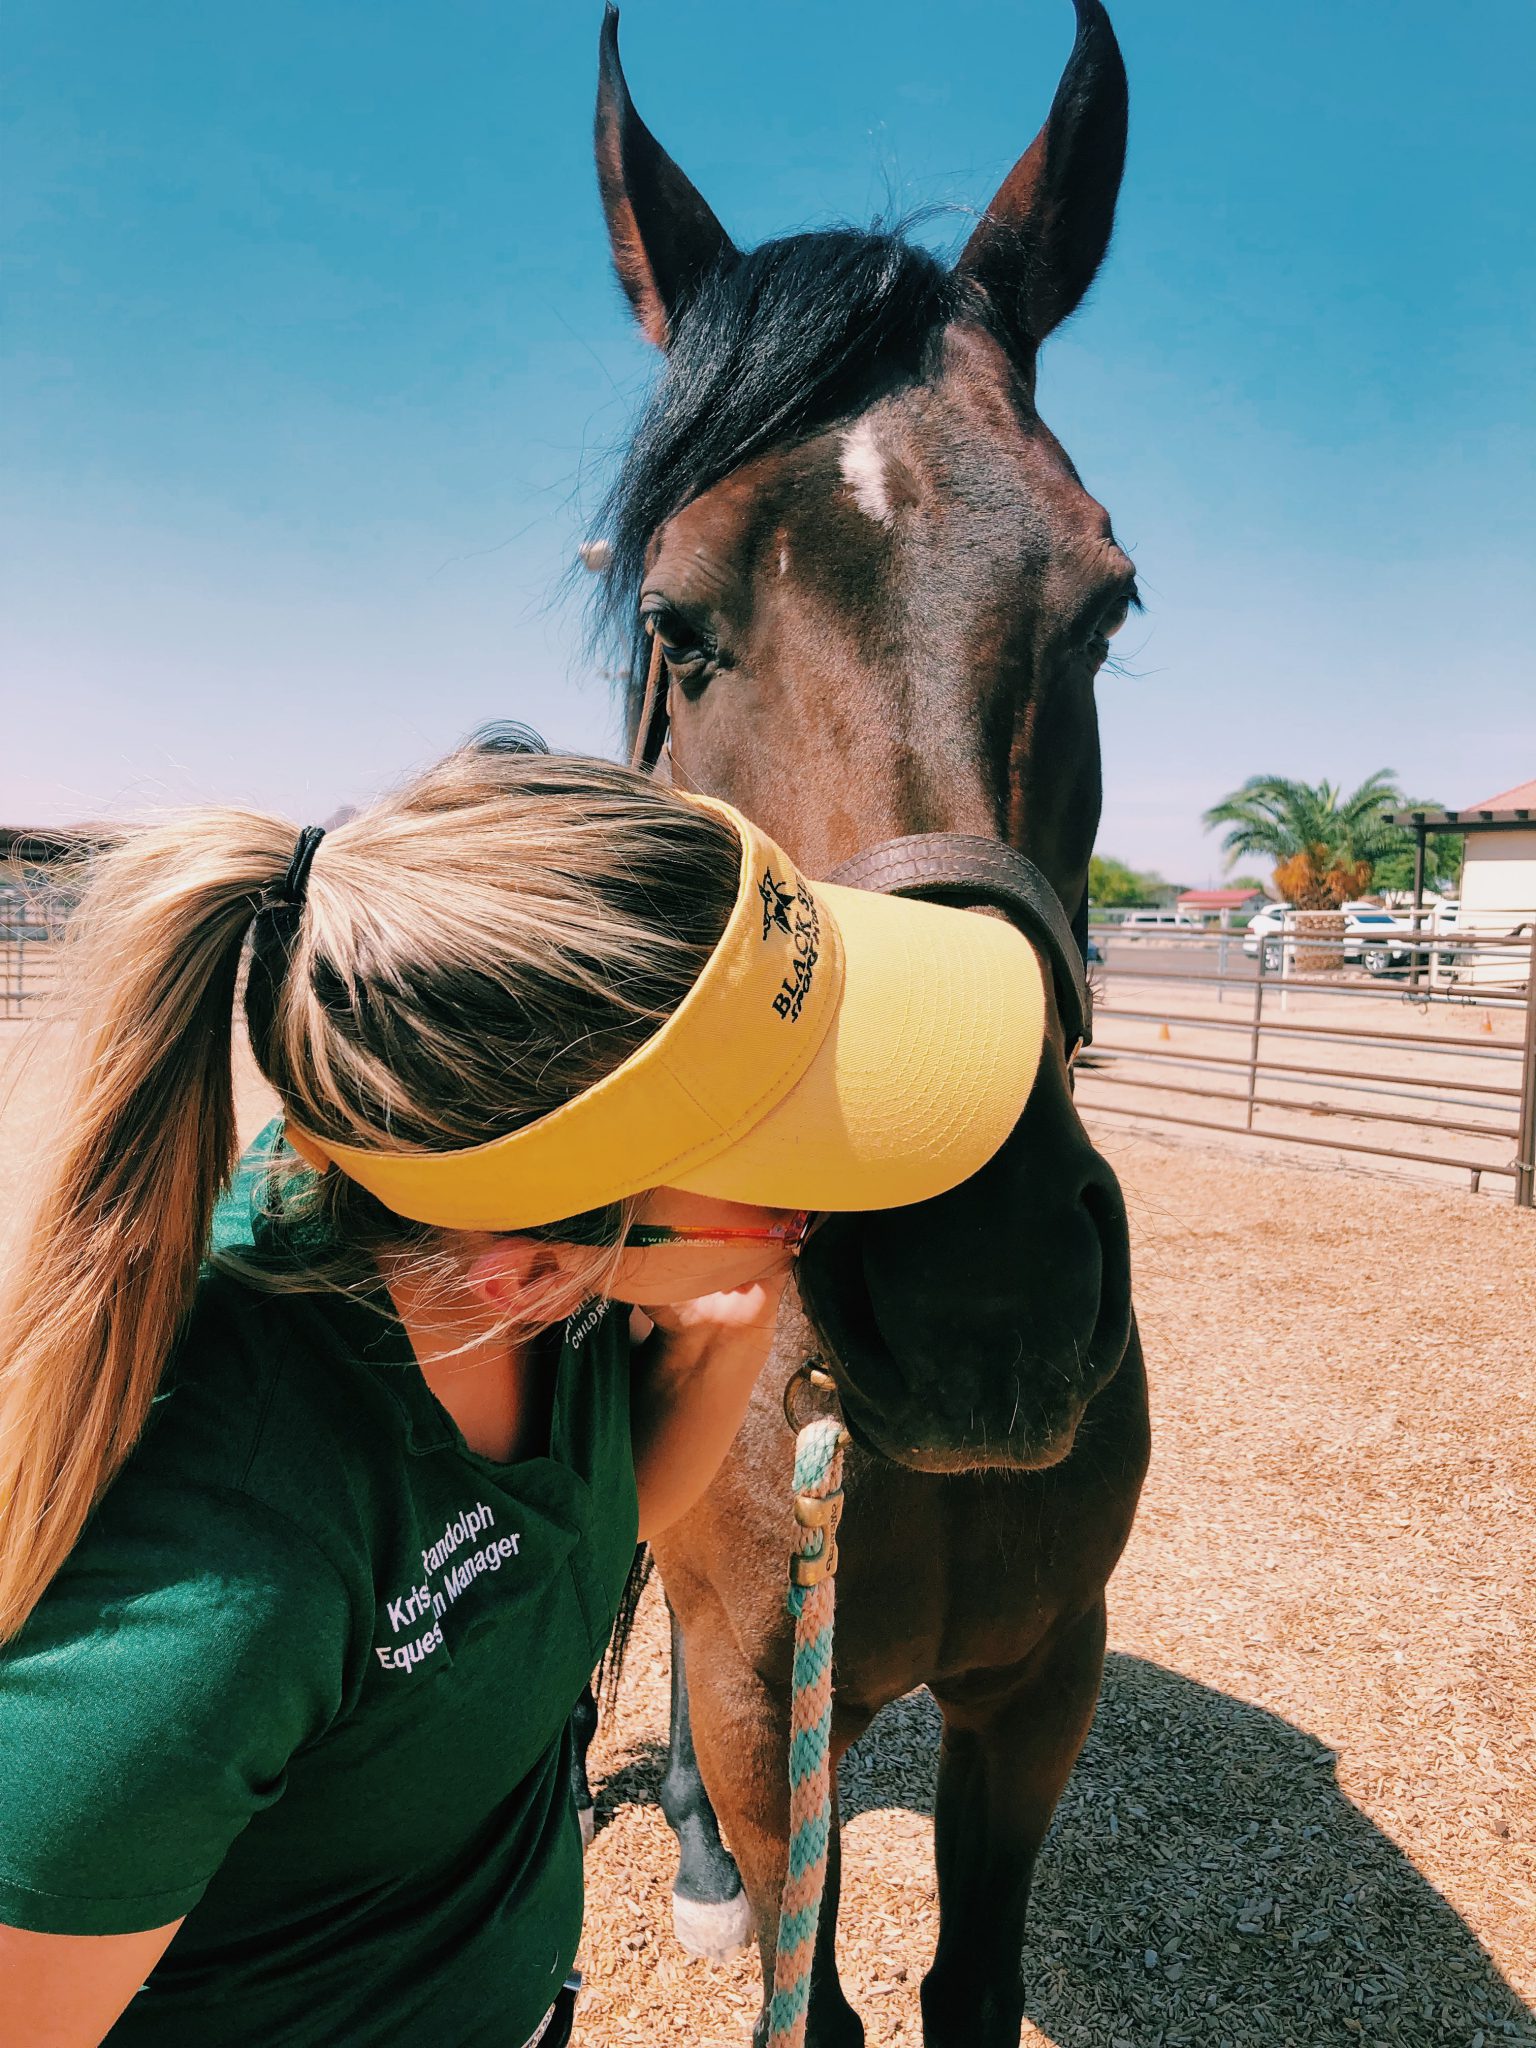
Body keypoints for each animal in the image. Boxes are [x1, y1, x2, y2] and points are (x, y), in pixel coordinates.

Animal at [577, 5, 1150, 2042]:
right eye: (679, 625)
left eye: (1106, 604)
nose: (983, 1299)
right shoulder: (769, 1704)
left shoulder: (1040, 1683)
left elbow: (968, 1983)